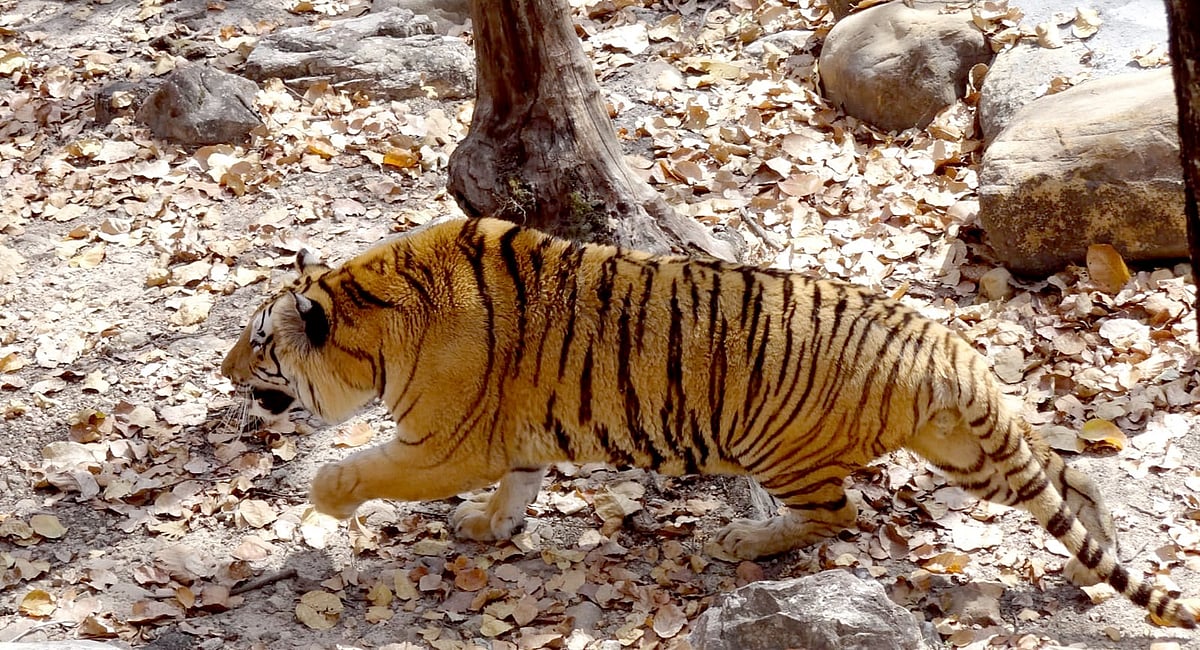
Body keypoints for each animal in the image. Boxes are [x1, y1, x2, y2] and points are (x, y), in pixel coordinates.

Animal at [221, 217, 1199, 628]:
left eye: (257, 344)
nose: (223, 374)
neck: (375, 317)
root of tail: (936, 345)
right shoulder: (509, 441)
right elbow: (520, 486)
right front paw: (490, 528)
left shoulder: (444, 442)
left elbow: (367, 467)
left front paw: (324, 497)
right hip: (968, 443)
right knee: (1070, 473)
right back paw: (1091, 559)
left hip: (786, 446)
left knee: (837, 513)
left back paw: (736, 543)